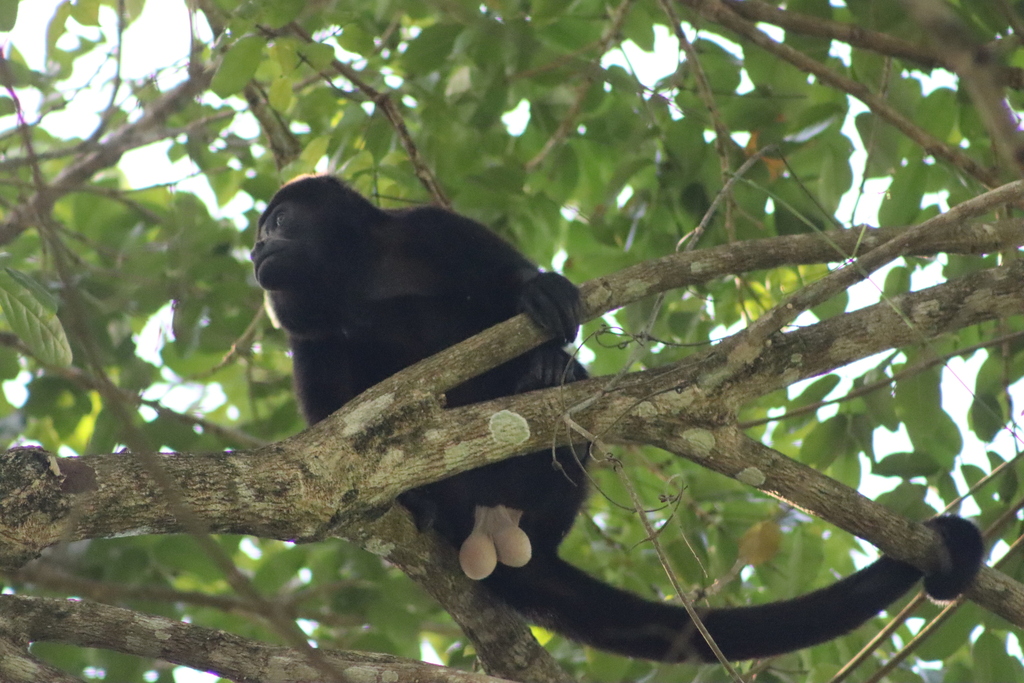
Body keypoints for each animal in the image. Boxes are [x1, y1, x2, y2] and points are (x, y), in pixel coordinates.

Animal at [251, 173, 984, 662]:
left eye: (279, 222)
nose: (257, 249)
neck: (357, 278)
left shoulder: (430, 228)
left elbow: (505, 278)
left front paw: (542, 296)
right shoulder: (302, 329)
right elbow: (331, 434)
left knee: (563, 396)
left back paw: (546, 379)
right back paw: (427, 503)